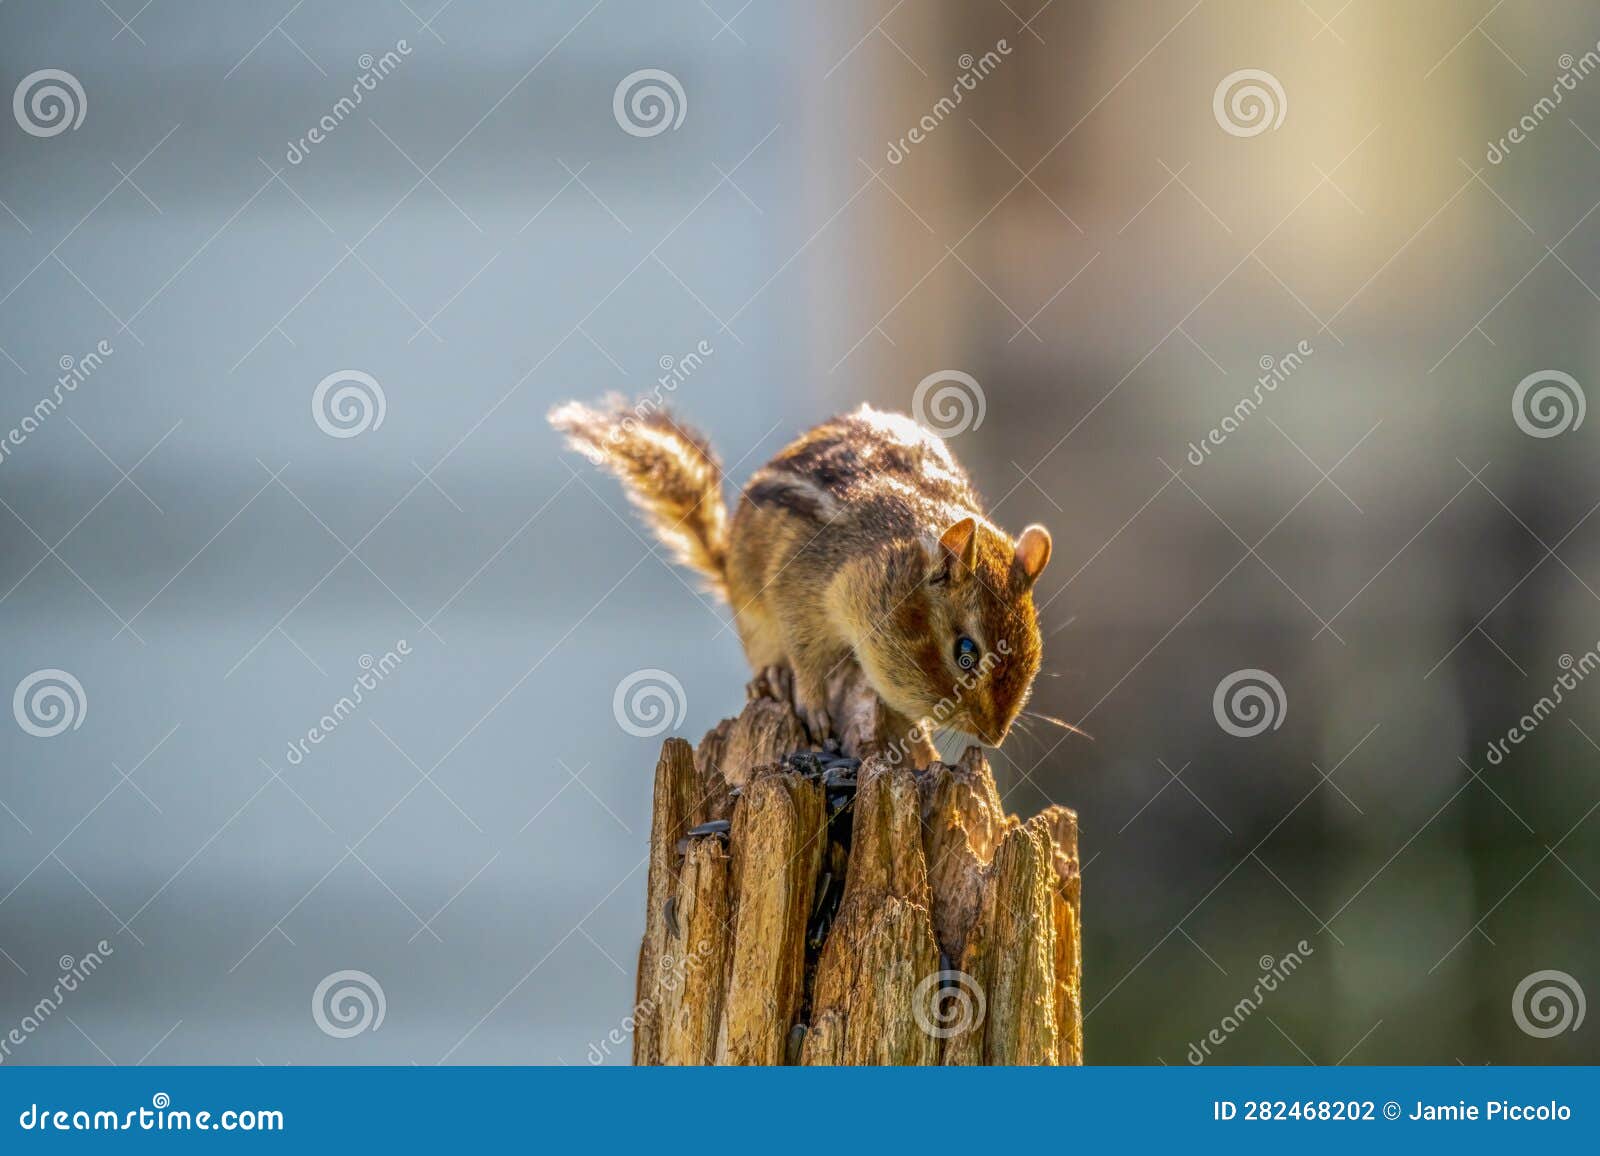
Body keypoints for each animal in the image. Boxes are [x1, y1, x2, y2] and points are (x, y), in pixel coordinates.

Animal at [549, 397, 1052, 749]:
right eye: (966, 652)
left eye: (1037, 653)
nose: (995, 737)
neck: (890, 557)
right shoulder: (801, 588)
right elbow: (806, 653)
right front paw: (812, 704)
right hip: (753, 616)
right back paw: (771, 677)